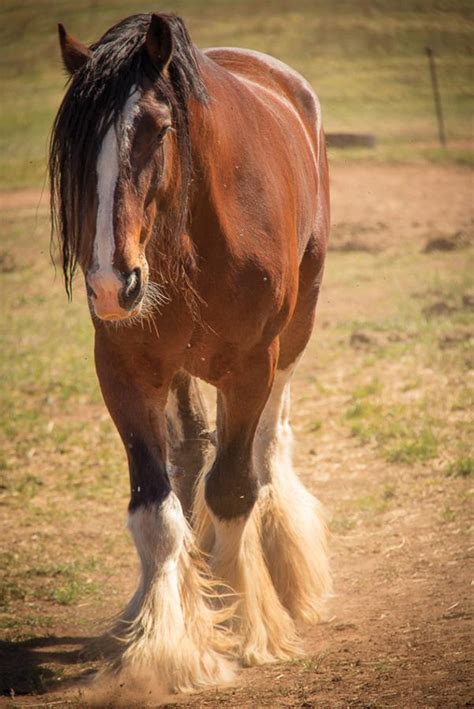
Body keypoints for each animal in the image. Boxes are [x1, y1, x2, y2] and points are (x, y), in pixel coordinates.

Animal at [49, 12, 331, 694]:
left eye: (156, 129)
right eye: (77, 145)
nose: (110, 284)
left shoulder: (251, 365)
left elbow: (232, 488)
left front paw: (248, 622)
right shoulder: (124, 369)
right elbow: (155, 509)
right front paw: (163, 649)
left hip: (294, 334)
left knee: (265, 449)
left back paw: (279, 575)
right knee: (189, 456)